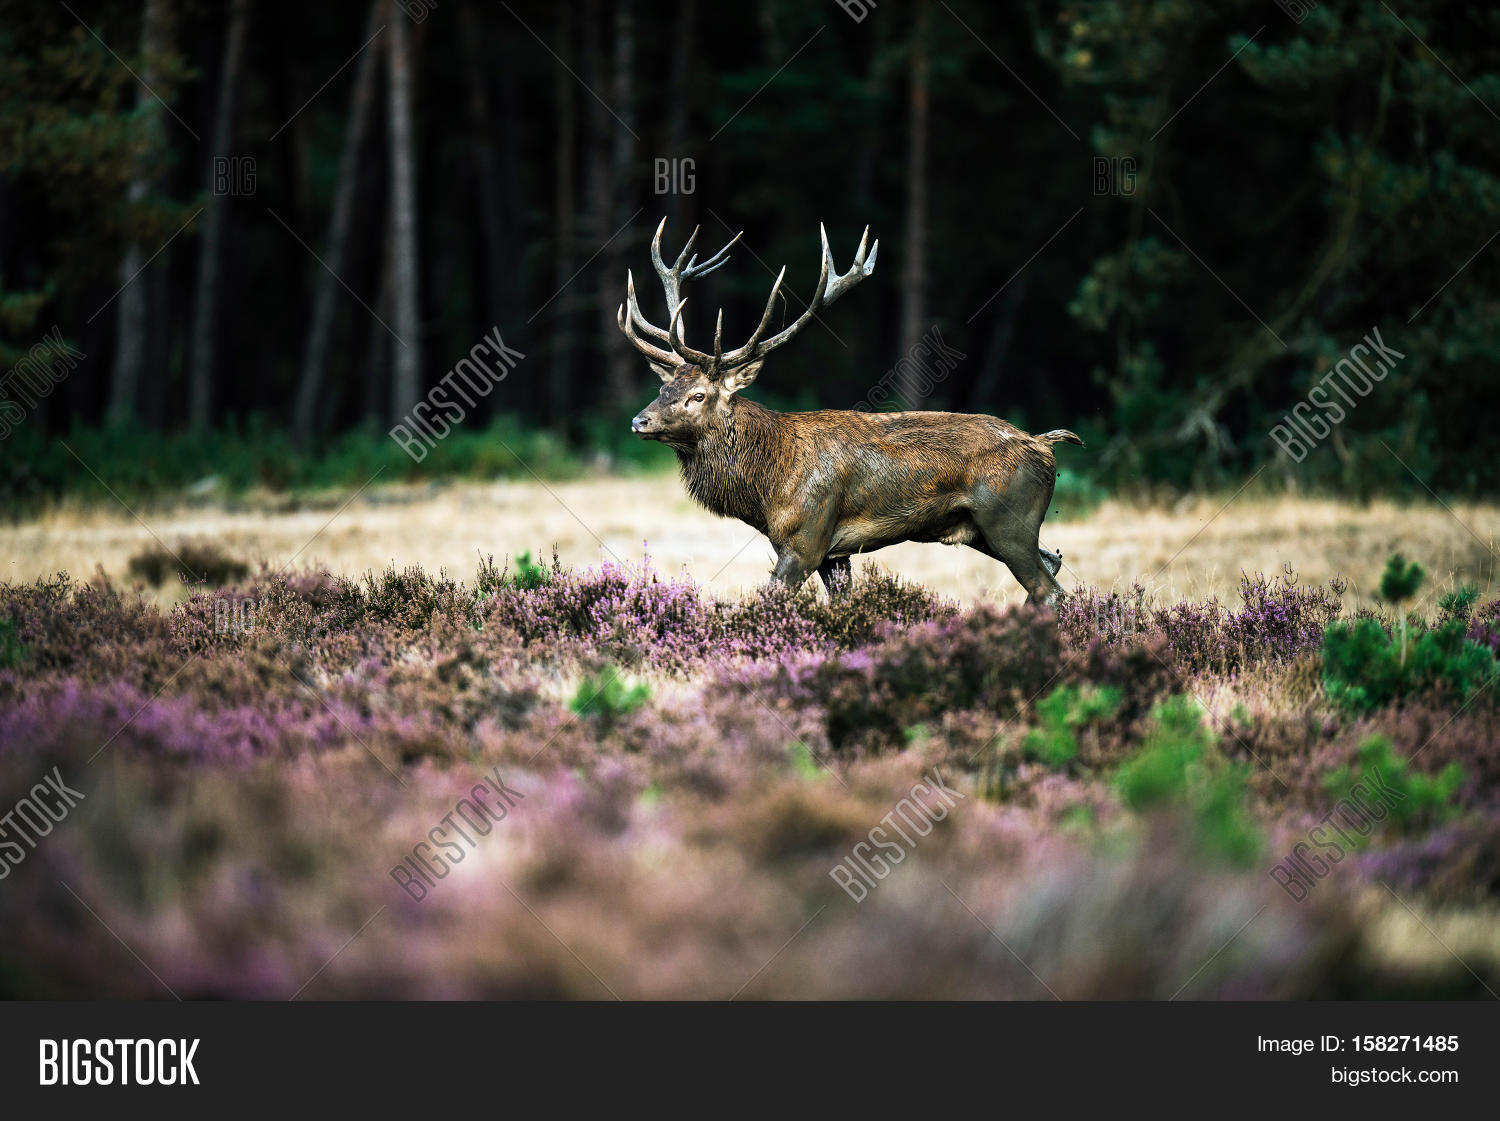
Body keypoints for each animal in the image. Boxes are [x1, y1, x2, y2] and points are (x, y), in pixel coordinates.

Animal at [617, 219, 1083, 605]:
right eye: (664, 387)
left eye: (698, 395)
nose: (639, 421)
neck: (766, 489)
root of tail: (1044, 444)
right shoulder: (833, 554)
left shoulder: (806, 539)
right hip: (985, 530)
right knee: (1054, 564)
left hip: (1008, 520)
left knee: (1049, 590)